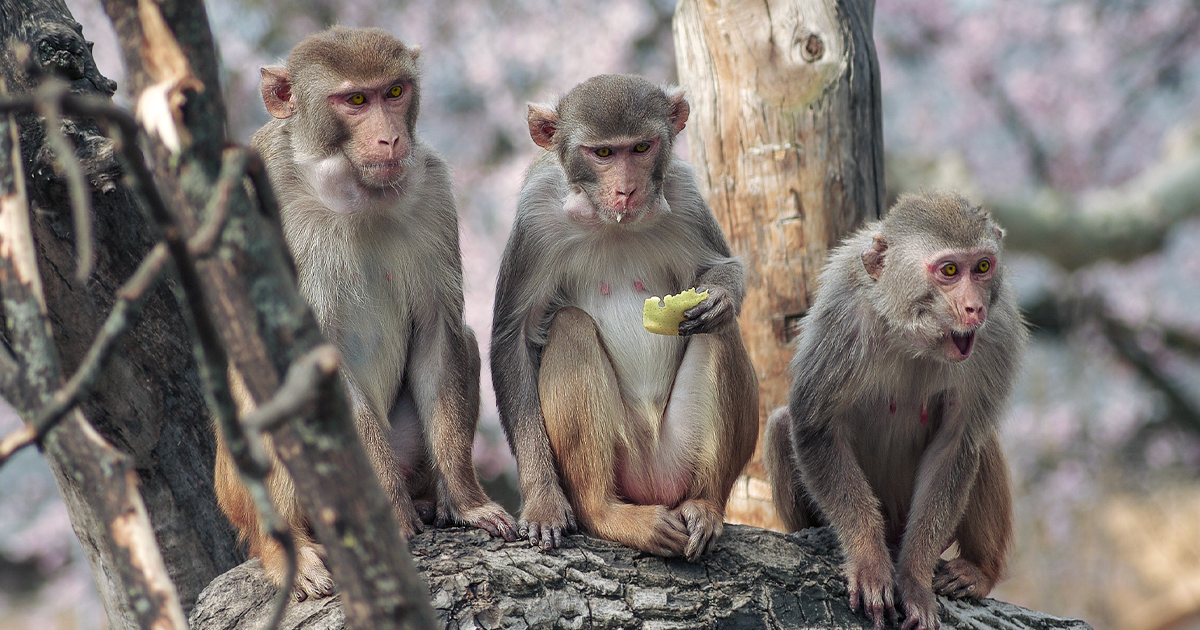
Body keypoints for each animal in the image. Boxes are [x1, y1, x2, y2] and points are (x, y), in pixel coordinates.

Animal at [213, 26, 516, 600]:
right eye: (355, 101)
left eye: (394, 92)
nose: (390, 140)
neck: (351, 194)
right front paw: (391, 518)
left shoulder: (432, 187)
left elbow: (440, 333)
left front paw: (466, 502)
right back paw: (287, 547)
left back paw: (429, 497)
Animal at [490, 74, 759, 561]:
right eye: (602, 153)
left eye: (640, 148)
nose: (626, 190)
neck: (610, 221)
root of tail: (653, 483)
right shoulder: (535, 218)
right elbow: (512, 339)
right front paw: (543, 501)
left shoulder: (686, 194)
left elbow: (722, 271)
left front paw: (719, 298)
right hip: (624, 459)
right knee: (570, 326)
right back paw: (607, 513)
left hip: (677, 456)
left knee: (719, 331)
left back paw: (706, 504)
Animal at [763, 190, 1028, 630]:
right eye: (950, 270)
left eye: (983, 267)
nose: (974, 308)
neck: (913, 337)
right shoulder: (842, 320)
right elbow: (816, 428)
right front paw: (869, 560)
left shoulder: (996, 335)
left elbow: (954, 446)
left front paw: (914, 578)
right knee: (780, 424)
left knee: (978, 442)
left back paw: (978, 570)